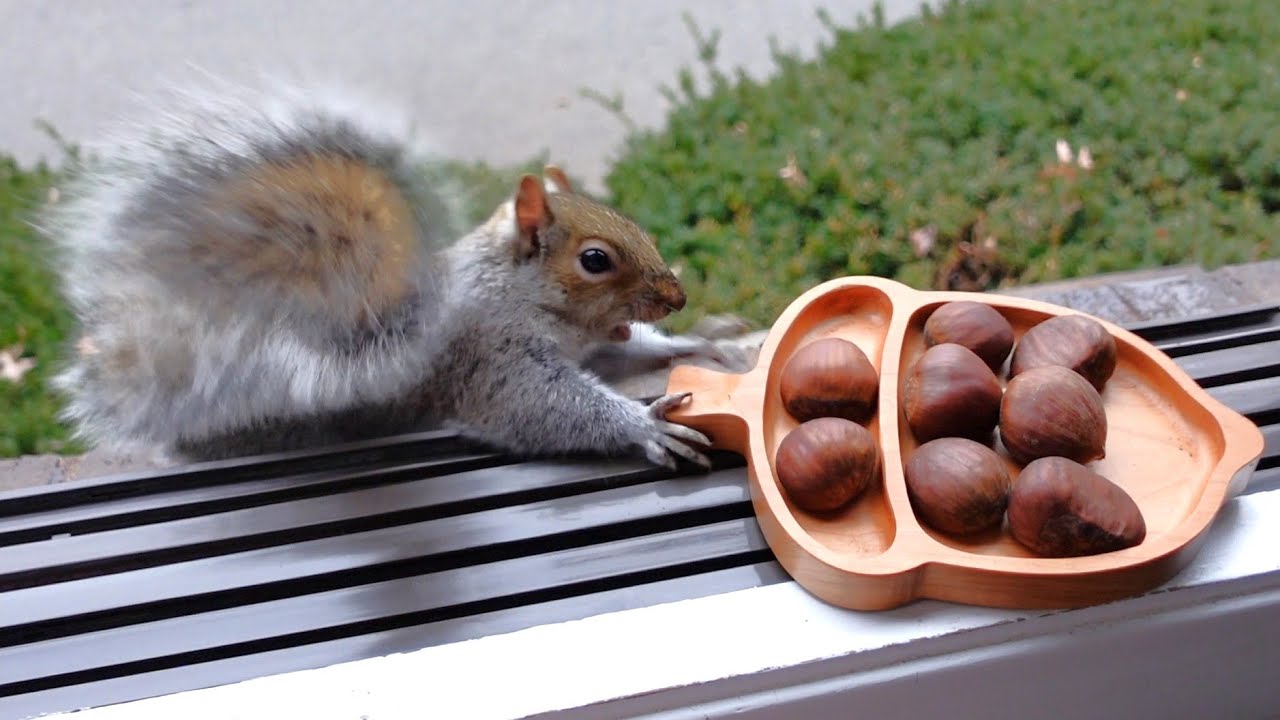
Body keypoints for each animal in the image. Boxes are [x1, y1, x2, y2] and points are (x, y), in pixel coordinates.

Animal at [41, 82, 733, 470]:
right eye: (595, 260)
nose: (677, 296)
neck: (519, 292)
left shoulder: (585, 344)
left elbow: (628, 355)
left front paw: (701, 341)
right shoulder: (490, 353)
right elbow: (536, 405)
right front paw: (645, 426)